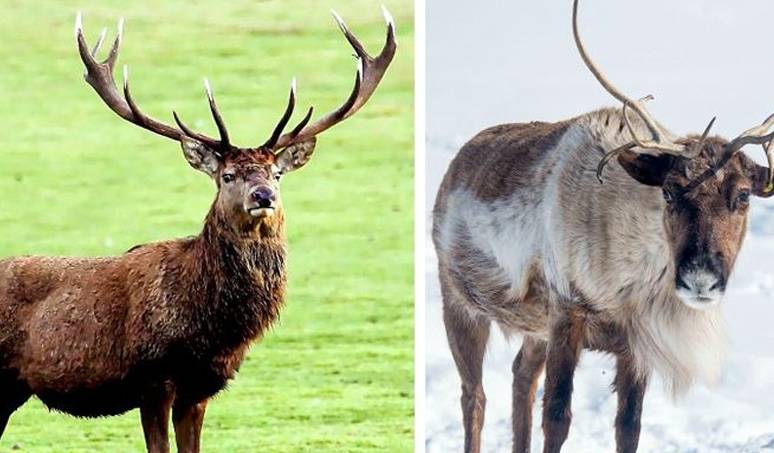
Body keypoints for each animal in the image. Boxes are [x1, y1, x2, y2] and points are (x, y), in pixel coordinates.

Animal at [0, 8, 395, 453]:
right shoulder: (153, 378)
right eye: (227, 175)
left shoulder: (202, 388)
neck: (208, 327)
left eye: (276, 173)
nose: (263, 196)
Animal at [432, 1, 773, 452]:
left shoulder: (635, 345)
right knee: (474, 396)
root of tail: (454, 166)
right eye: (669, 191)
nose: (700, 279)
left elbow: (629, 425)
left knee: (521, 375)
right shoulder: (566, 314)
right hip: (459, 303)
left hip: (532, 327)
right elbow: (557, 418)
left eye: (744, 195)